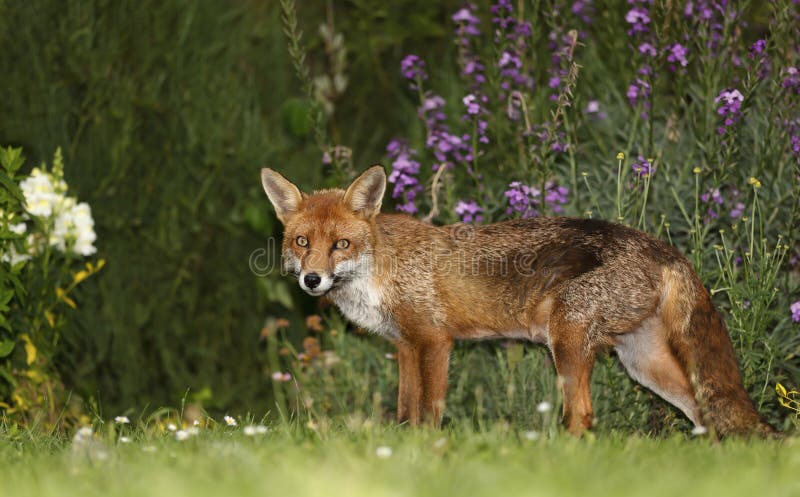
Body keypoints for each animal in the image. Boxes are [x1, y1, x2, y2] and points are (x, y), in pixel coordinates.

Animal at [260, 164, 773, 437]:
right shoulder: (405, 346)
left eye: (341, 245)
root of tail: (665, 248)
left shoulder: (435, 342)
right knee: (704, 412)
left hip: (568, 341)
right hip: (644, 365)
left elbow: (430, 410)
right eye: (303, 242)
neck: (380, 272)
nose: (311, 280)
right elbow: (406, 409)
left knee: (583, 414)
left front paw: (427, 453)